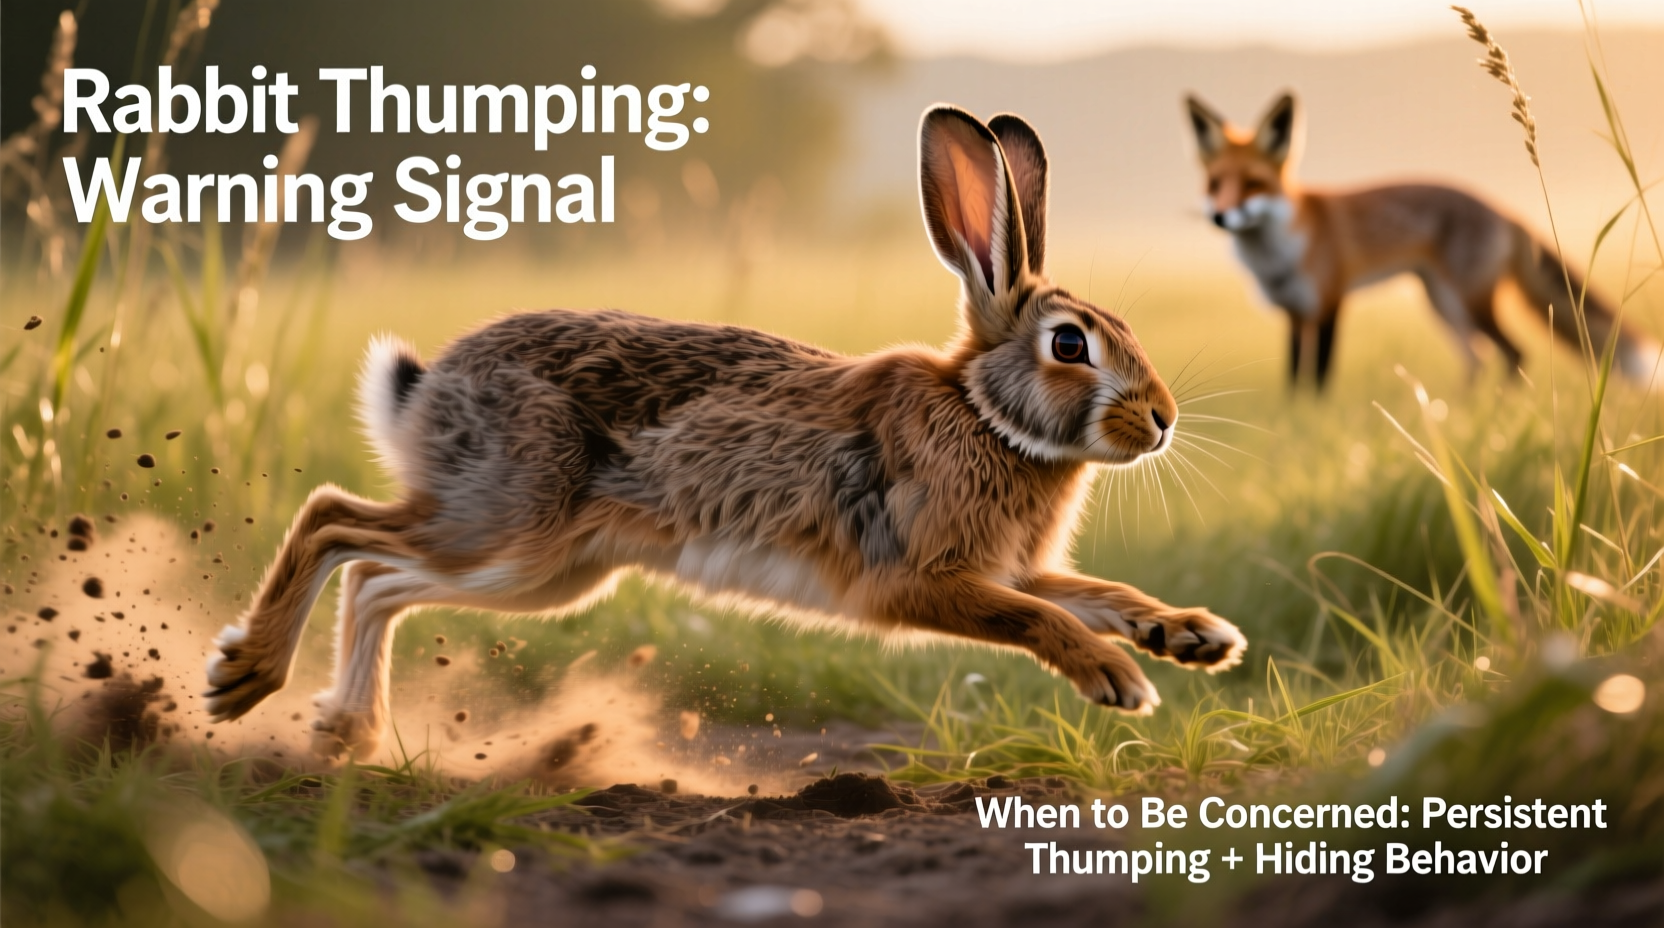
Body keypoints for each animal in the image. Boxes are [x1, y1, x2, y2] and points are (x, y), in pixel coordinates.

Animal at [204, 105, 1247, 759]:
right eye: (1071, 343)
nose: (1161, 421)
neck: (987, 417)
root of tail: (428, 392)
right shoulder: (920, 578)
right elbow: (1037, 617)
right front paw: (1115, 678)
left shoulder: (1012, 566)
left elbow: (1094, 592)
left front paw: (1194, 638)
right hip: (506, 525)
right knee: (338, 521)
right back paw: (245, 678)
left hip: (544, 575)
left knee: (380, 580)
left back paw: (344, 733)